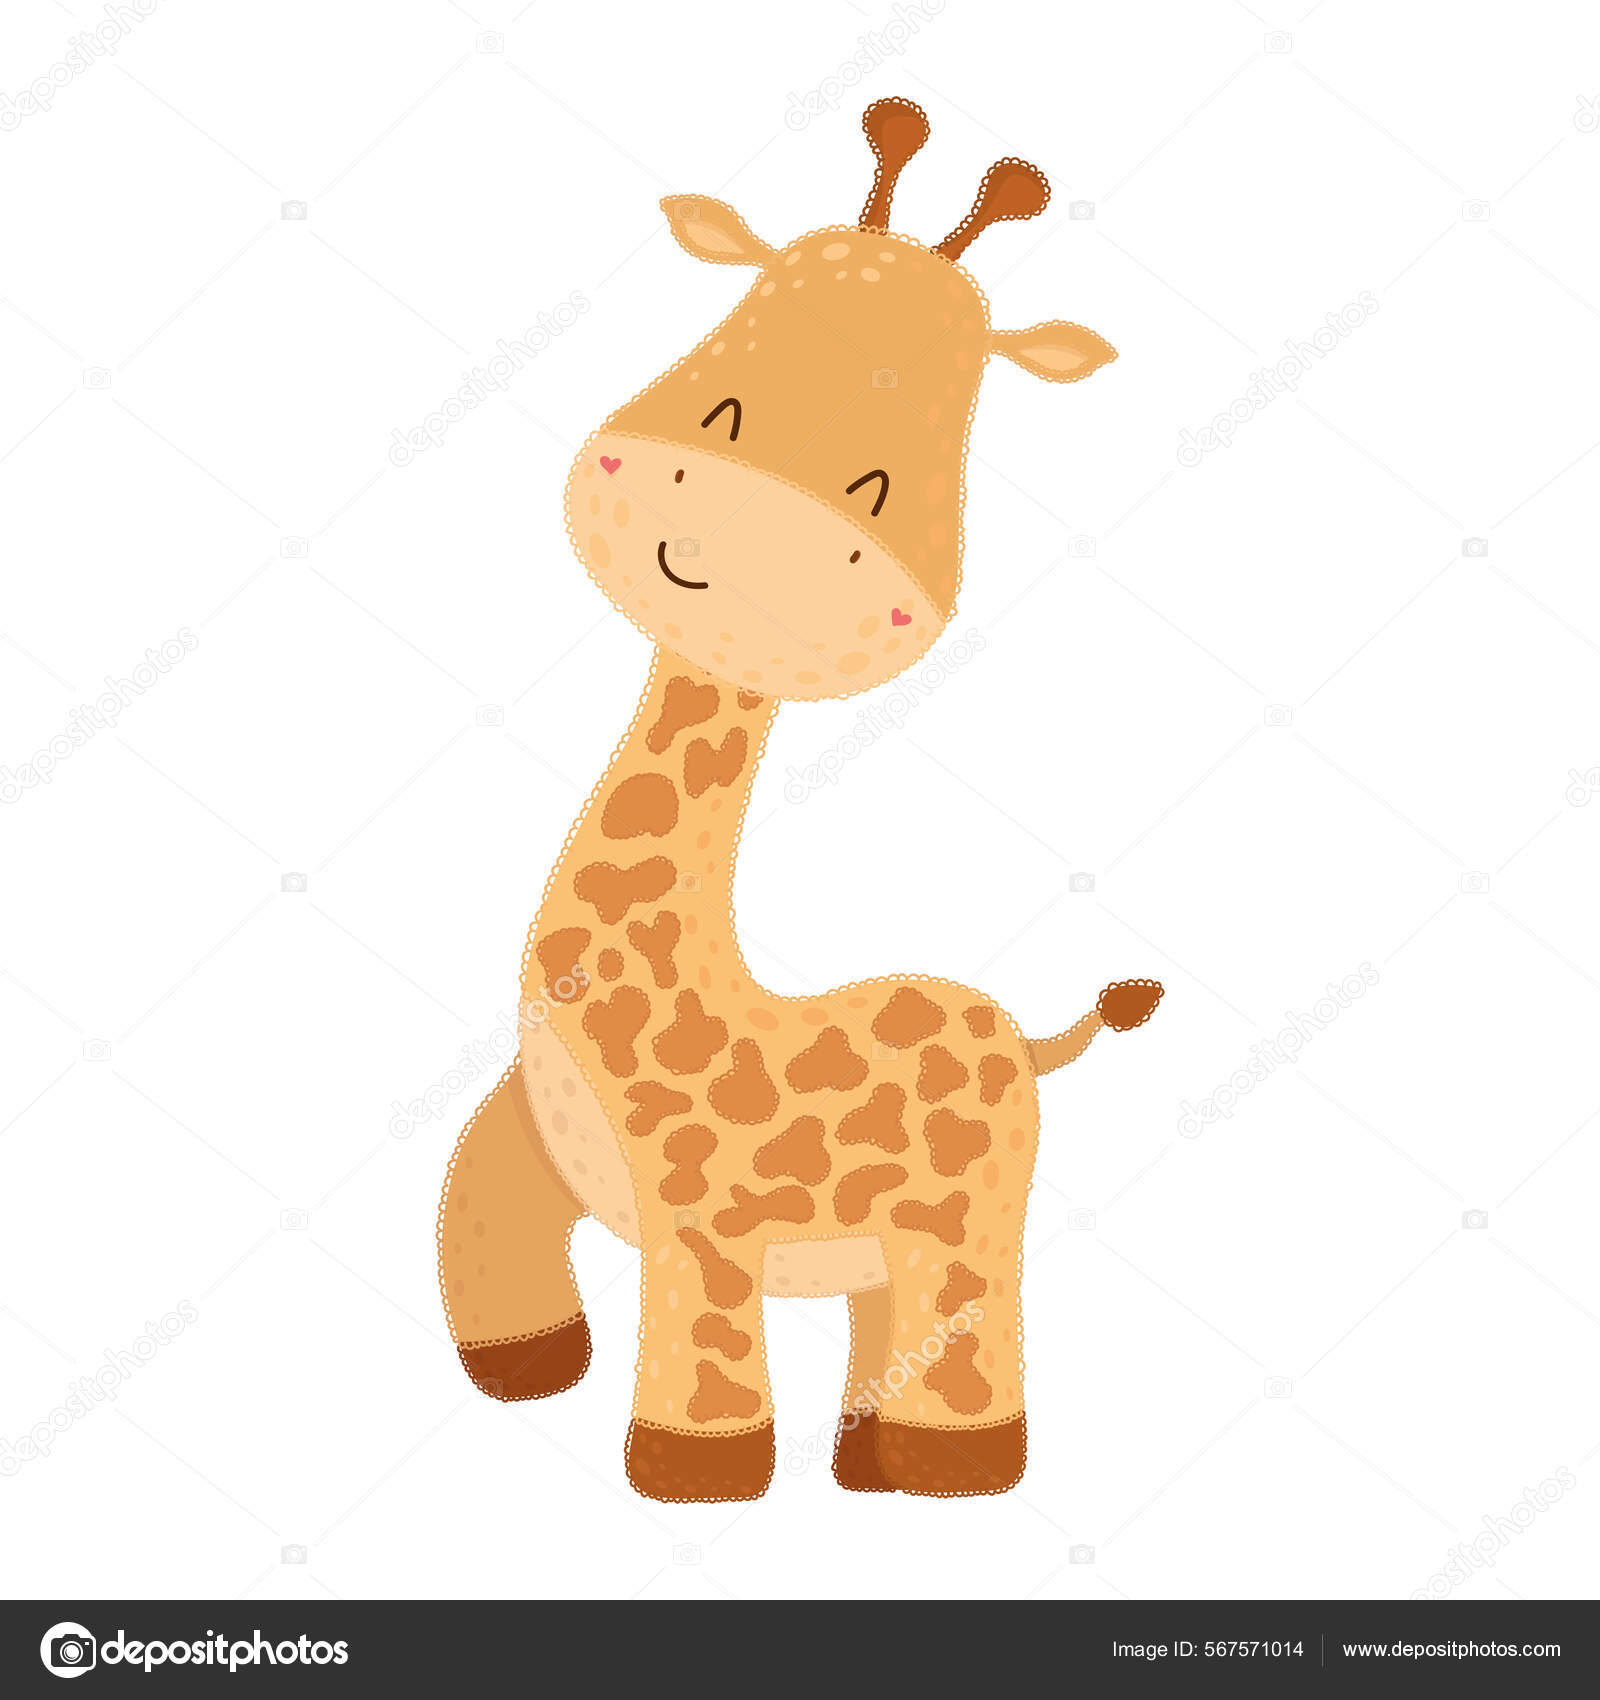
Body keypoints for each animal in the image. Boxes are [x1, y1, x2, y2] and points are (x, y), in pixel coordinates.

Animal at [437, 98, 1163, 1503]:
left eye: (881, 487)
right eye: (716, 406)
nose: (725, 531)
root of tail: (1019, 1029)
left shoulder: (702, 1221)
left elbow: (701, 1359)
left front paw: (689, 1474)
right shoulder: (538, 1125)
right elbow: (477, 1212)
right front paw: (524, 1367)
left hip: (968, 1221)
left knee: (966, 1317)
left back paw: (949, 1468)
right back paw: (866, 1466)